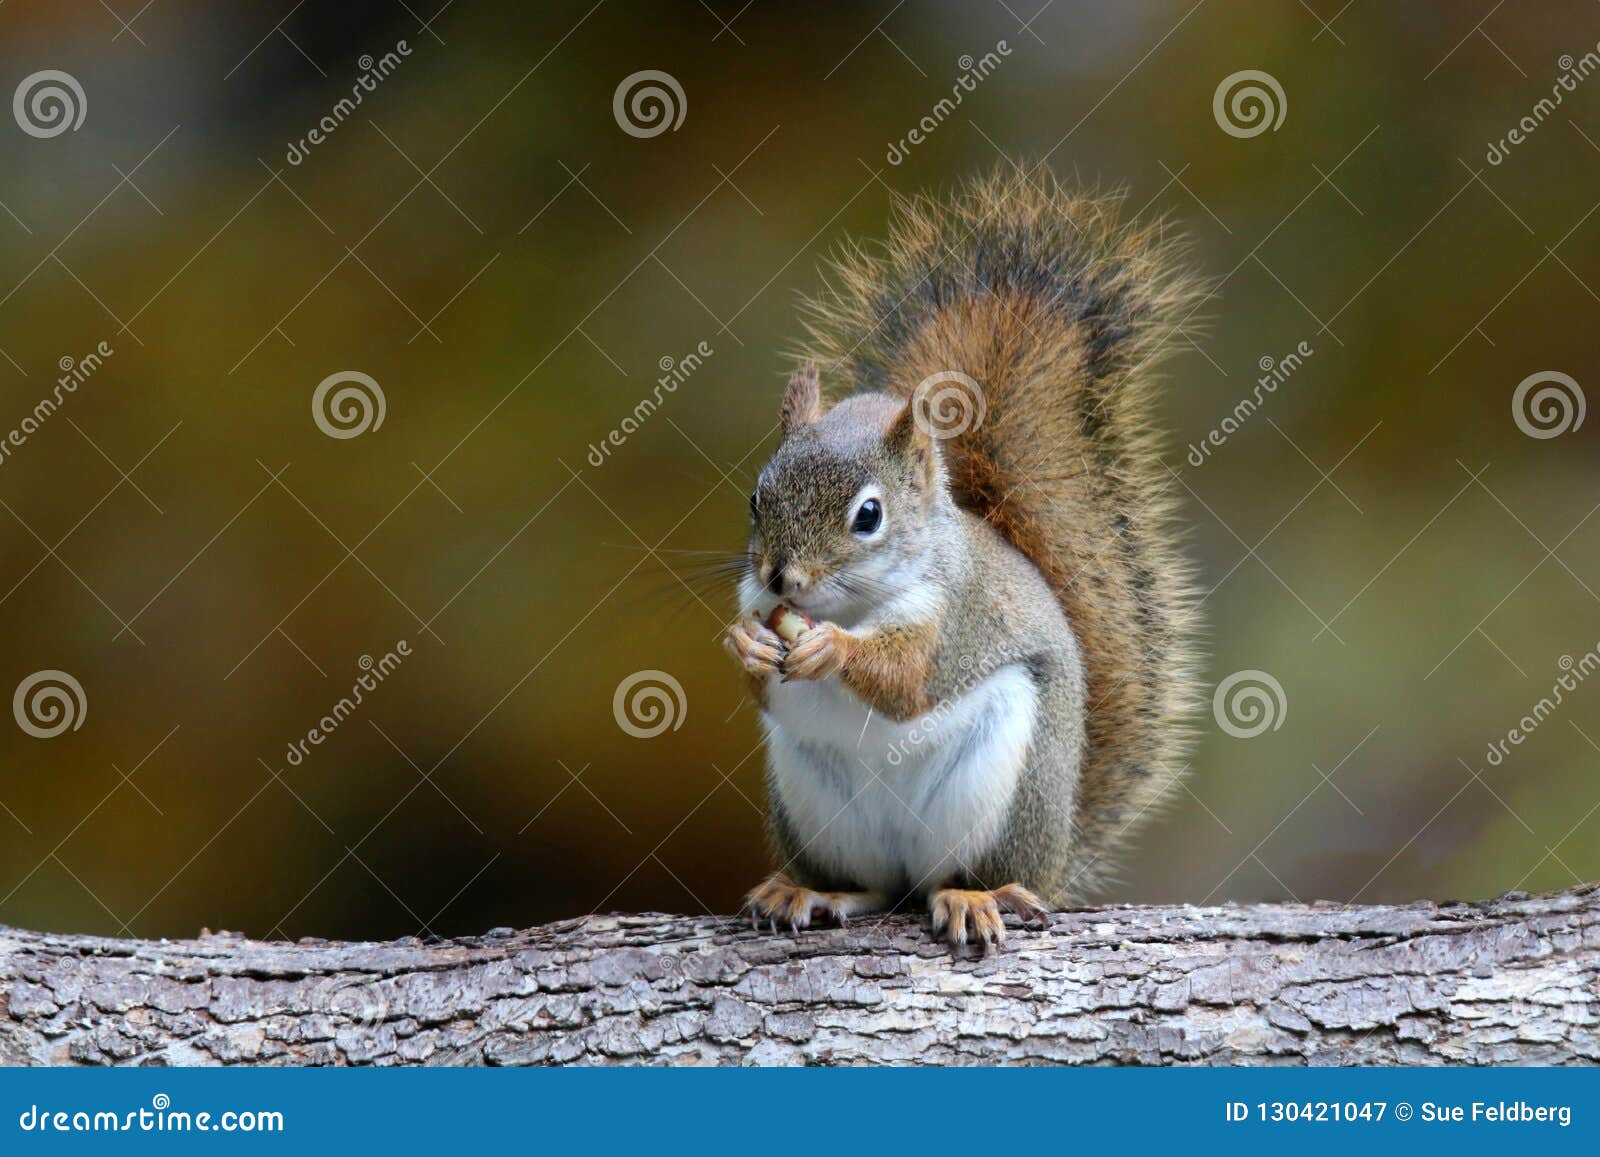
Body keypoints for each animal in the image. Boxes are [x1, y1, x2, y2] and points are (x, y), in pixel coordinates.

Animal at [724, 166, 1203, 952]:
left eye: (869, 516)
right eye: (757, 497)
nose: (781, 577)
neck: (852, 602)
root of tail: (1057, 856)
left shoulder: (957, 610)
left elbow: (910, 676)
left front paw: (832, 649)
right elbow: (761, 677)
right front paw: (748, 644)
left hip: (1002, 795)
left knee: (962, 876)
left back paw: (977, 896)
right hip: (817, 809)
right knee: (873, 886)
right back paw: (813, 889)